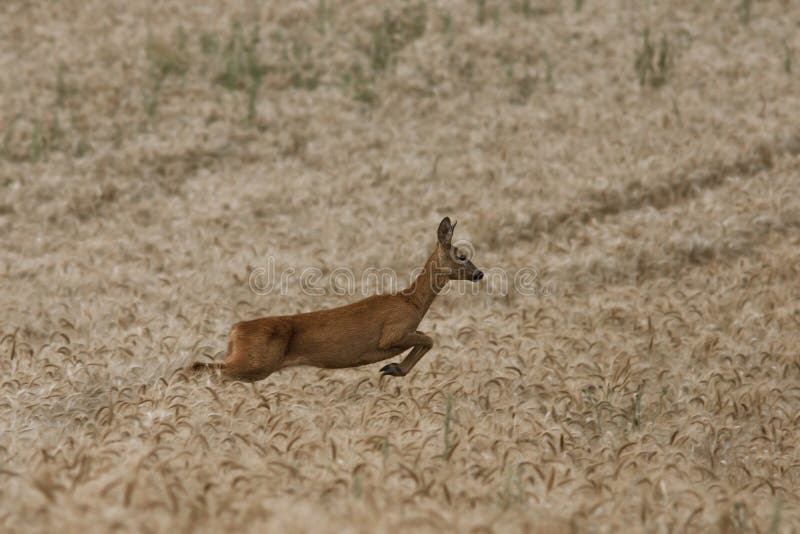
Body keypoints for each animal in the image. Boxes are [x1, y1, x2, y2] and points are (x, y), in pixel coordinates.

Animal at [190, 217, 483, 381]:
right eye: (462, 256)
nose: (479, 273)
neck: (412, 302)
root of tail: (235, 330)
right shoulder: (392, 334)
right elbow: (428, 338)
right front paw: (393, 368)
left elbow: (426, 337)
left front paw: (393, 369)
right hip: (255, 363)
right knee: (203, 368)